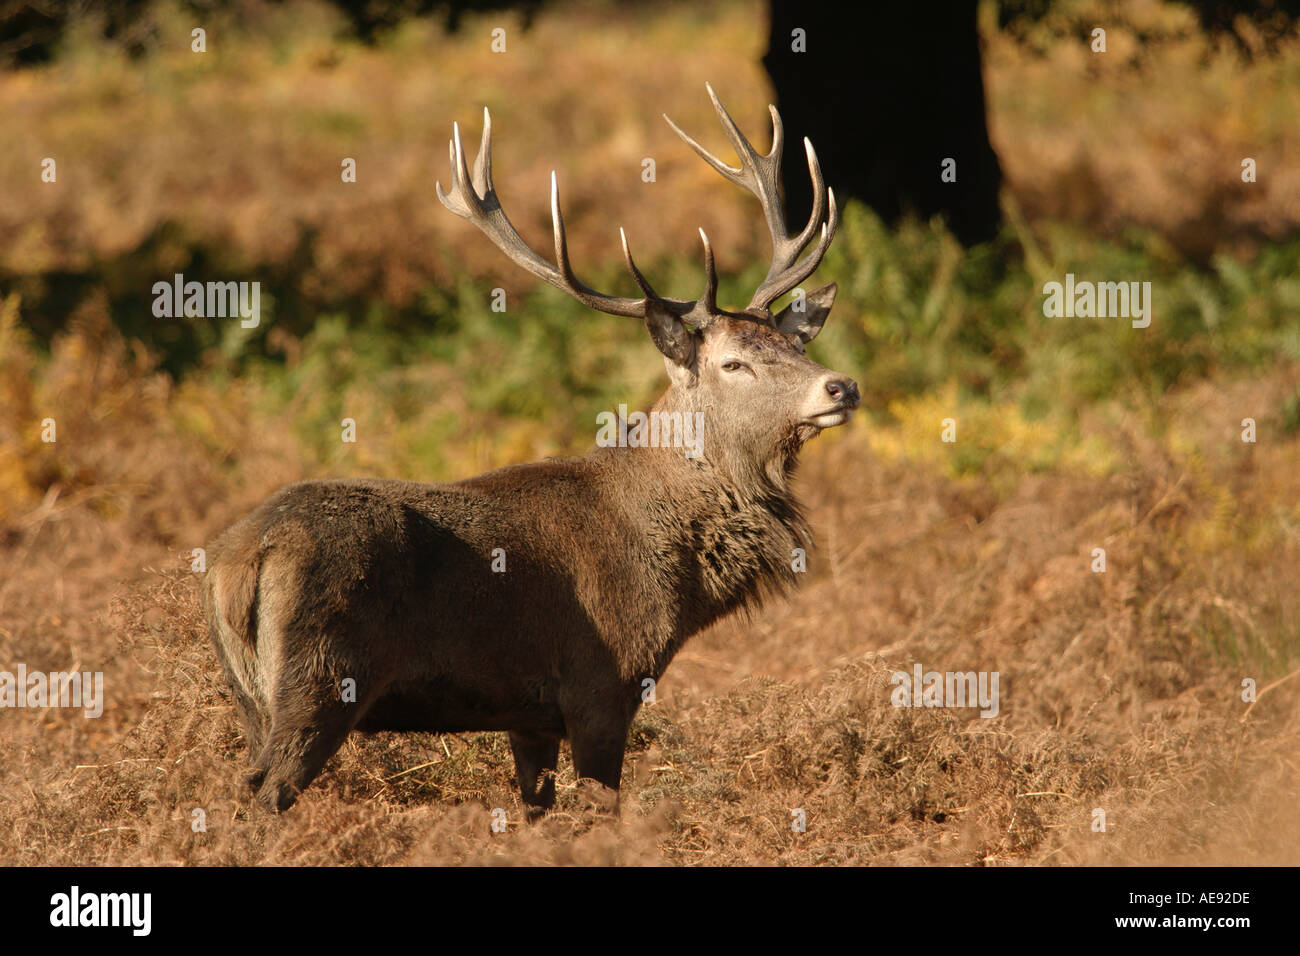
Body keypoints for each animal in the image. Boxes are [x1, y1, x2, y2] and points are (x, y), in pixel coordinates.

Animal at [202, 85, 860, 815]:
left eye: (795, 343)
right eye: (734, 363)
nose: (841, 385)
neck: (677, 573)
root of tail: (240, 561)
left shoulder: (529, 715)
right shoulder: (601, 683)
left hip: (249, 694)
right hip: (320, 680)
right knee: (265, 790)